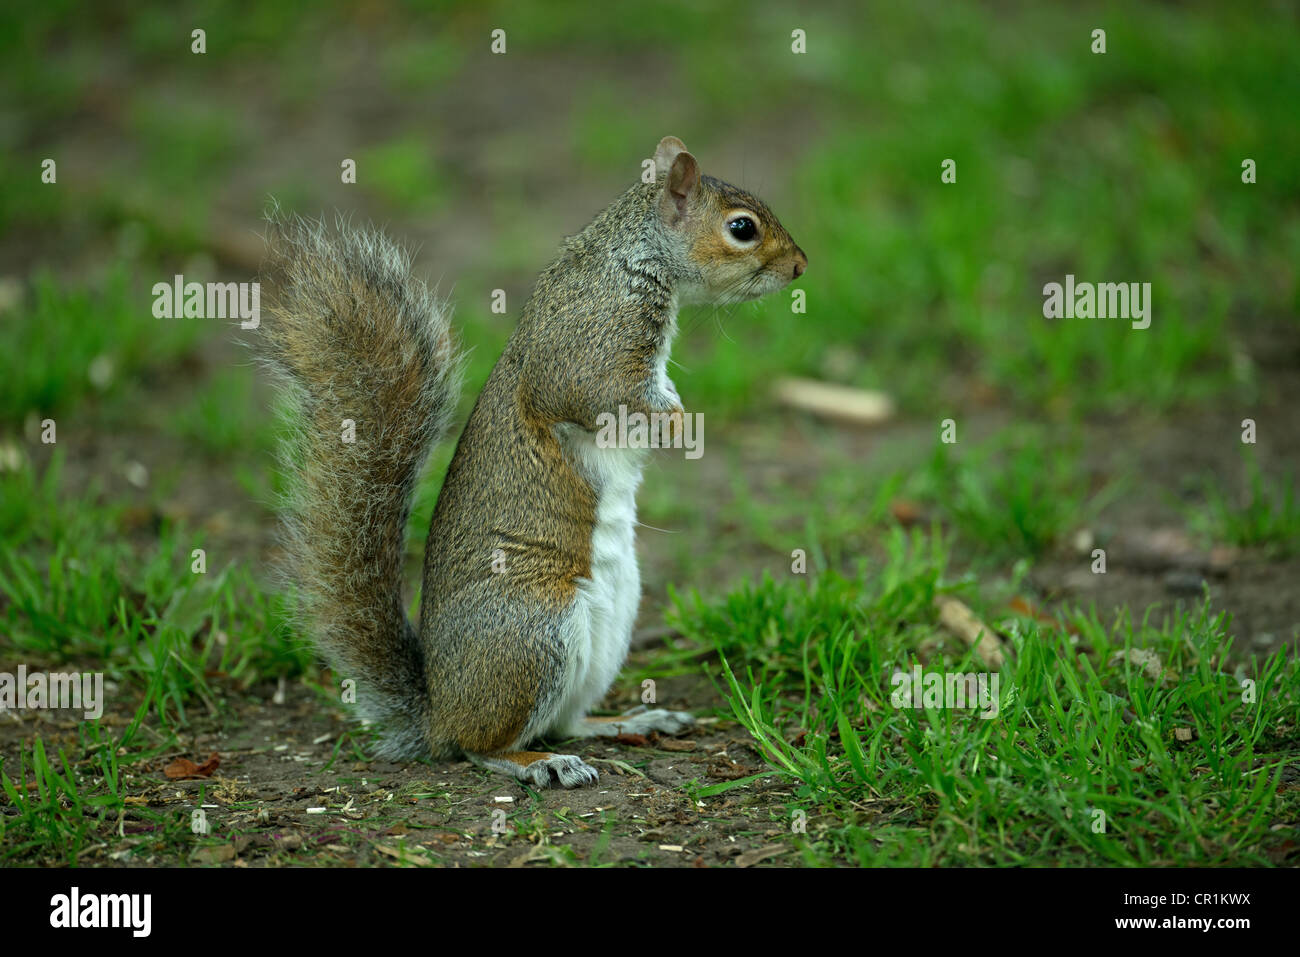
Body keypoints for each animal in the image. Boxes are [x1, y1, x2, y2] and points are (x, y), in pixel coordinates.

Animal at [261, 136, 806, 788]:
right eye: (742, 228)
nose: (801, 266)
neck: (633, 256)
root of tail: (438, 709)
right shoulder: (590, 345)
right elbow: (591, 395)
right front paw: (684, 425)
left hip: (608, 627)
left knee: (565, 719)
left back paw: (628, 722)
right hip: (534, 630)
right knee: (480, 745)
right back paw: (539, 763)